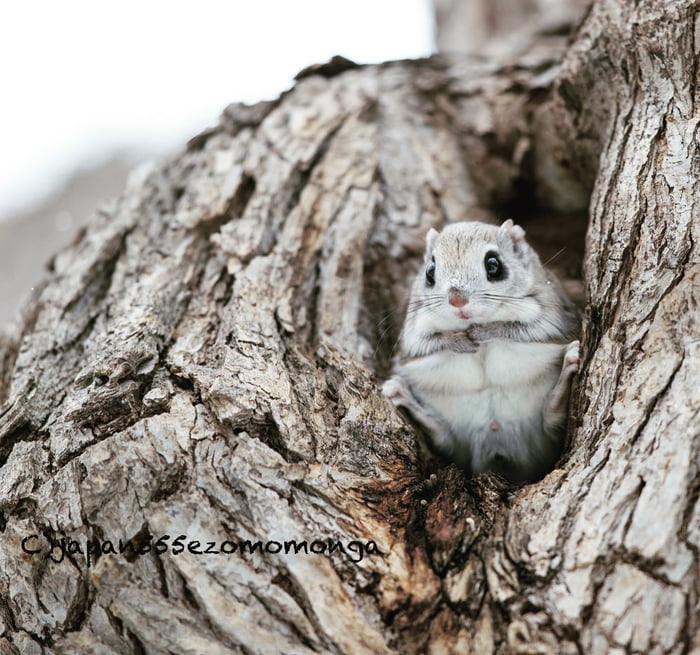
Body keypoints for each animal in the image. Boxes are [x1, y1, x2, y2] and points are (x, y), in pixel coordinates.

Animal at [383, 219, 580, 483]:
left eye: (493, 265)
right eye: (430, 271)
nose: (457, 300)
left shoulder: (549, 312)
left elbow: (512, 329)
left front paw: (484, 332)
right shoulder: (413, 333)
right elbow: (430, 343)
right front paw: (459, 342)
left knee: (552, 420)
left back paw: (568, 368)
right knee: (442, 435)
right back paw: (400, 393)